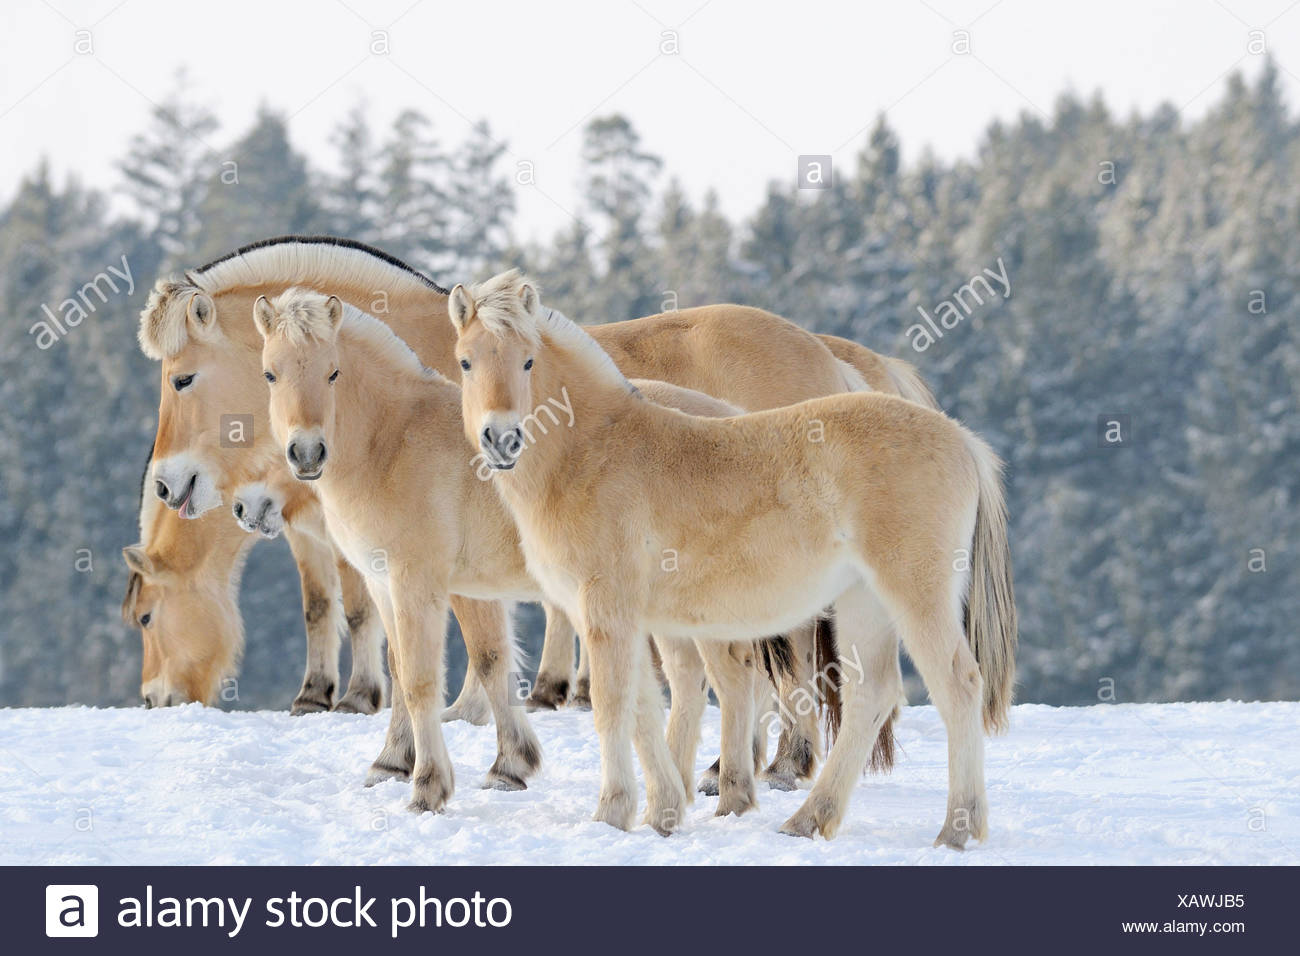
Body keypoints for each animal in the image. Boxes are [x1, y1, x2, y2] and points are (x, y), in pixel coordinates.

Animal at [451, 271, 1017, 847]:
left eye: (527, 361)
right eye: (466, 361)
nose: (502, 437)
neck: (594, 451)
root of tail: (962, 440)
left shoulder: (606, 610)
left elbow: (613, 708)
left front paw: (611, 814)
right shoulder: (634, 621)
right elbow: (645, 710)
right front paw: (662, 812)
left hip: (914, 595)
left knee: (958, 686)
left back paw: (956, 829)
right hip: (864, 603)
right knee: (870, 697)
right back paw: (808, 819)